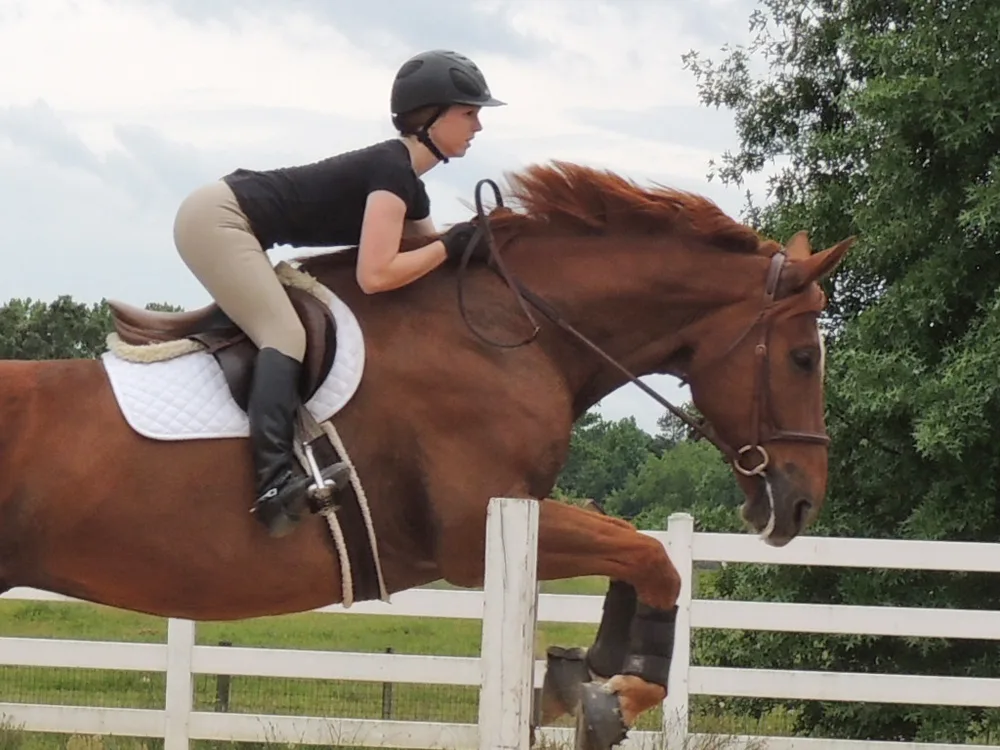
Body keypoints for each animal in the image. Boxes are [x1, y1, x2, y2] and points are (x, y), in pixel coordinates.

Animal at [0, 160, 852, 750]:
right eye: (804, 358)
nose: (800, 502)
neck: (514, 330)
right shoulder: (475, 535)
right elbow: (648, 554)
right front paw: (615, 692)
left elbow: (639, 554)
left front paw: (585, 677)